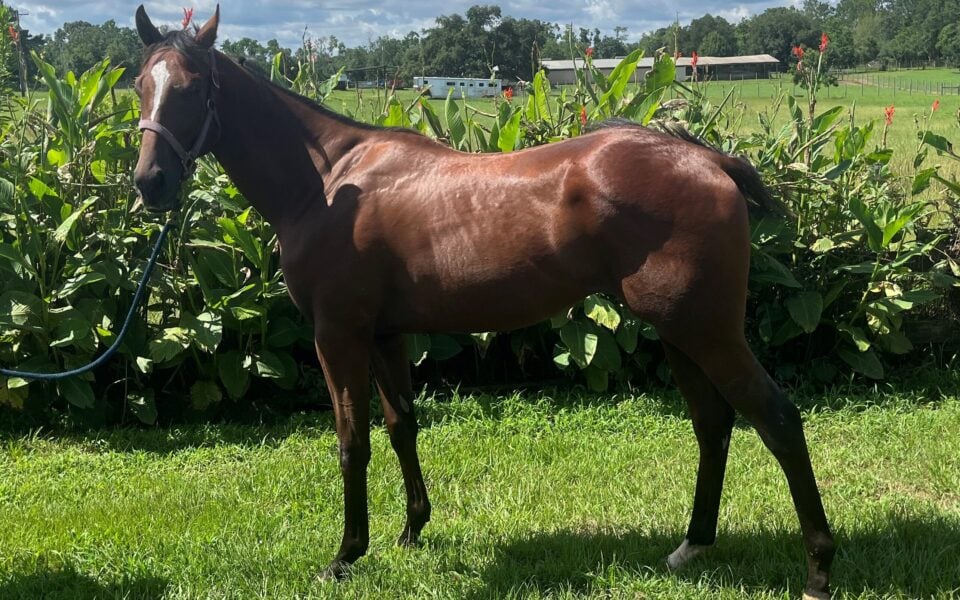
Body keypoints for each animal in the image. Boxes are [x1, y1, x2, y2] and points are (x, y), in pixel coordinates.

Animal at [131, 6, 834, 598]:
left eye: (192, 88)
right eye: (139, 85)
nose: (150, 183)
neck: (329, 182)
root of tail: (706, 158)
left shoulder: (338, 335)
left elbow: (352, 440)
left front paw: (346, 554)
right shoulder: (385, 335)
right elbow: (401, 426)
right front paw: (411, 530)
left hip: (708, 331)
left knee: (777, 420)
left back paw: (817, 571)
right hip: (678, 332)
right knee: (714, 425)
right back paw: (692, 546)